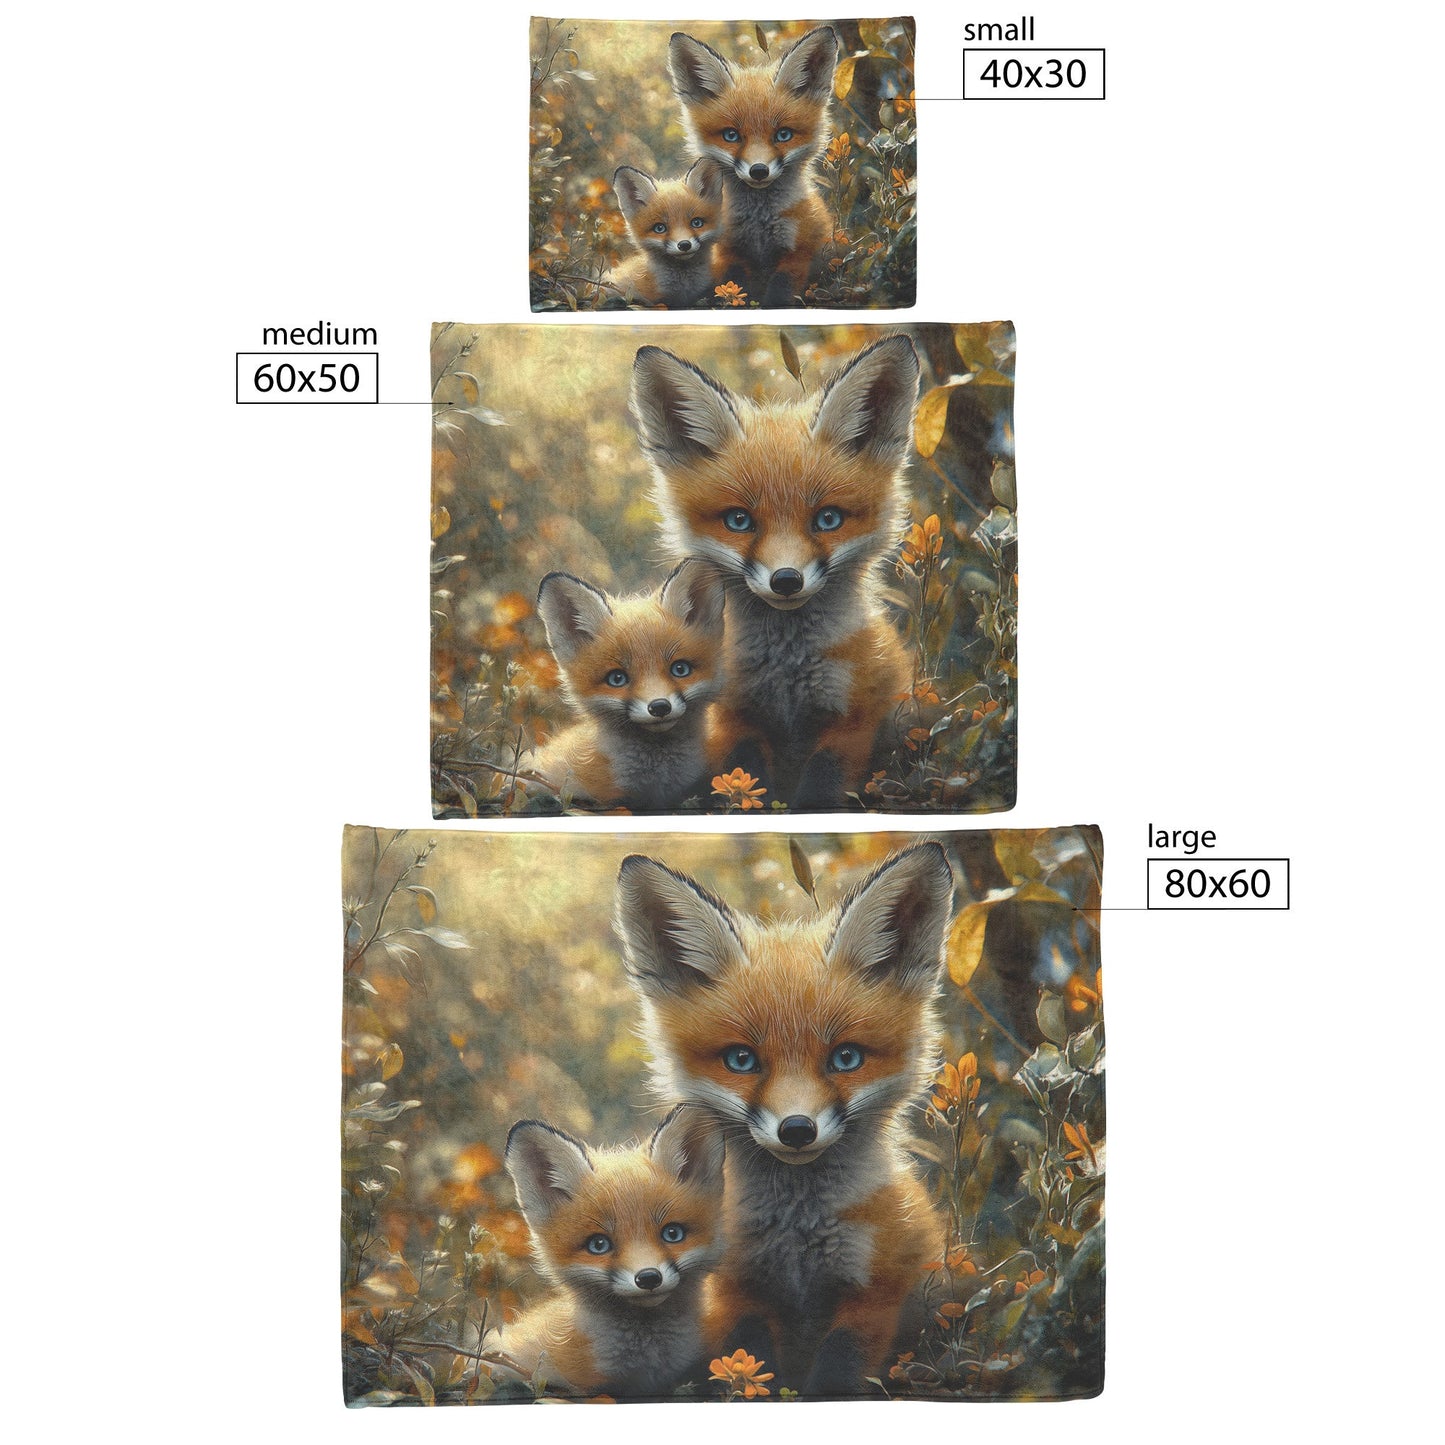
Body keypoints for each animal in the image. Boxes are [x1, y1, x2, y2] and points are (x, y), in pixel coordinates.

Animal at [613, 842, 955, 1395]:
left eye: (845, 1058)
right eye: (741, 1060)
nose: (797, 1130)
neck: (799, 1244)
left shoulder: (874, 1296)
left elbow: (838, 1373)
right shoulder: (739, 1294)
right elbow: (748, 1364)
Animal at [630, 335, 921, 808]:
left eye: (827, 519)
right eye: (739, 521)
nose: (786, 580)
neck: (788, 678)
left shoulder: (853, 722)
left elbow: (821, 788)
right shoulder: (735, 721)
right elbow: (746, 780)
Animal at [669, 27, 839, 306]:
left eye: (783, 135)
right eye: (731, 135)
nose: (759, 170)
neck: (760, 227)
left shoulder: (797, 255)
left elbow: (779, 294)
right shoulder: (730, 254)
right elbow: (734, 289)